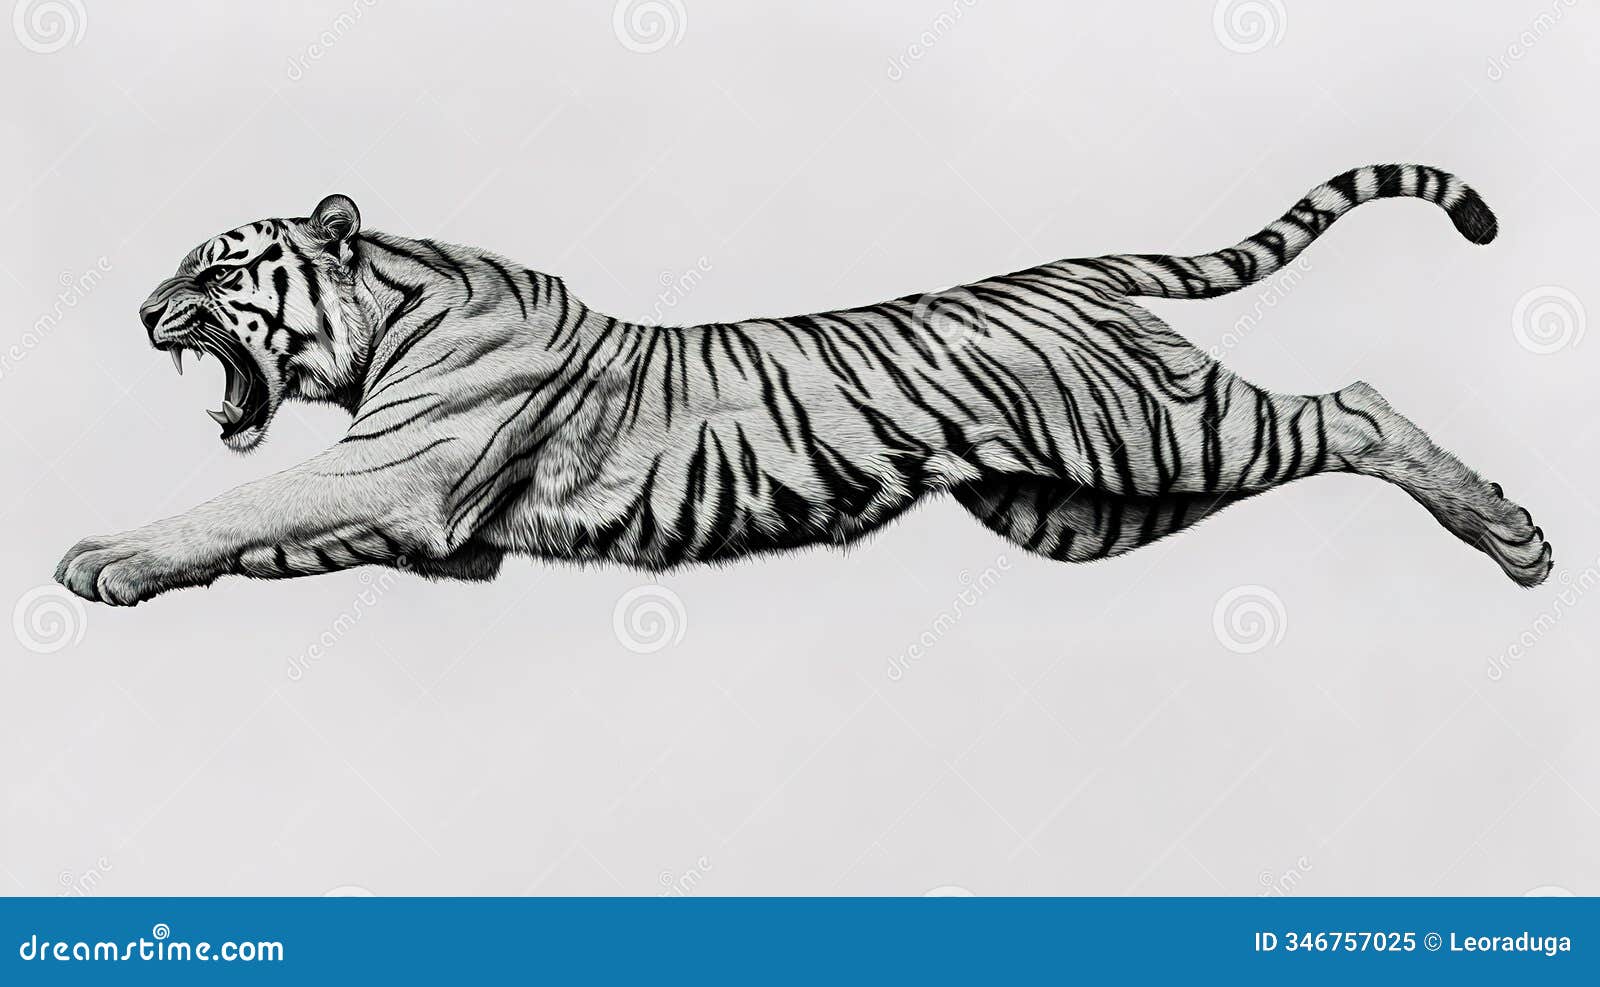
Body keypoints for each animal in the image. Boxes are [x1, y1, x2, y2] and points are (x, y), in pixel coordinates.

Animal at [56, 163, 1552, 606]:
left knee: (1352, 405)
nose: (135, 310)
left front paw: (103, 556)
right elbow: (271, 530)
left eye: (216, 267)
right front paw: (178, 570)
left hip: (1158, 431)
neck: (392, 310)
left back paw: (1515, 535)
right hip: (1084, 502)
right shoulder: (429, 525)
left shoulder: (398, 470)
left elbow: (239, 501)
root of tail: (1060, 270)